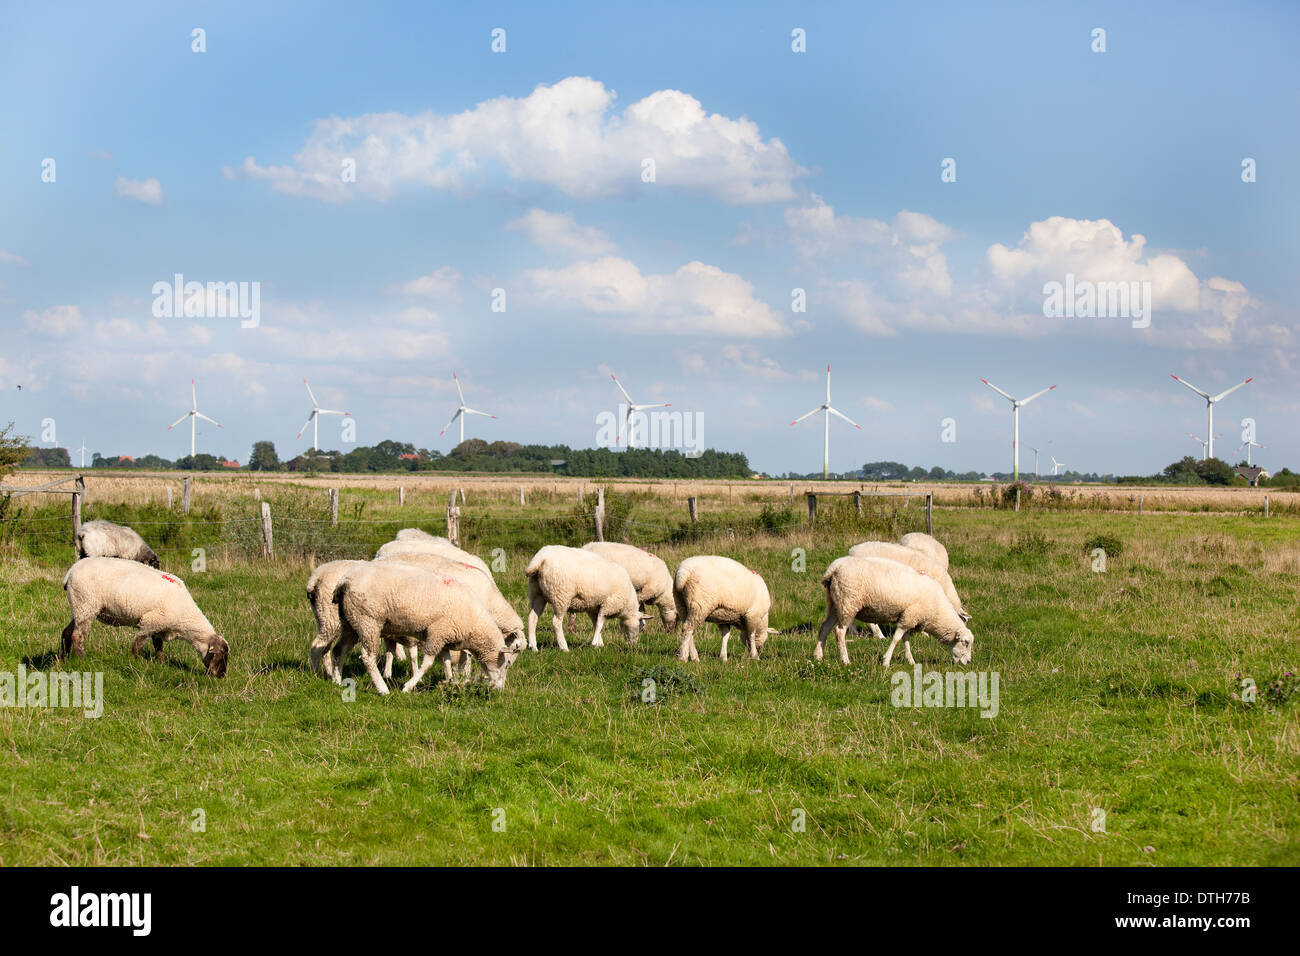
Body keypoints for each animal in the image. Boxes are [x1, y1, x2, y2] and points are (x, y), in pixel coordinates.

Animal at [60, 556, 229, 676]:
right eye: (220, 656)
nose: (221, 675)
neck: (186, 617)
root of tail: (71, 571)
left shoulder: (159, 626)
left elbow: (158, 647)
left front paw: (161, 664)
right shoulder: (150, 622)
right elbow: (138, 644)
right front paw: (136, 661)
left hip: (80, 607)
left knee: (66, 632)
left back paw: (63, 658)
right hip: (86, 604)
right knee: (77, 636)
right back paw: (82, 659)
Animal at [331, 561, 520, 694]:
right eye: (505, 665)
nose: (499, 690)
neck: (473, 623)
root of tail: (344, 581)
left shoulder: (445, 637)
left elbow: (446, 661)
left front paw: (451, 682)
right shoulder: (437, 633)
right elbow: (428, 664)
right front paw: (408, 686)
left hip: (349, 622)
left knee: (339, 650)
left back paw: (336, 681)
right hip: (368, 621)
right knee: (368, 657)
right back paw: (382, 688)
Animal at [816, 555, 973, 668]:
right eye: (965, 642)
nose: (969, 662)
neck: (937, 612)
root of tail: (834, 568)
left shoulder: (909, 617)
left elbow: (906, 639)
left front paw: (910, 660)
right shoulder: (909, 617)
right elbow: (897, 638)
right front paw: (886, 661)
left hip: (835, 603)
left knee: (824, 627)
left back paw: (818, 656)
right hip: (849, 602)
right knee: (839, 631)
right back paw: (845, 660)